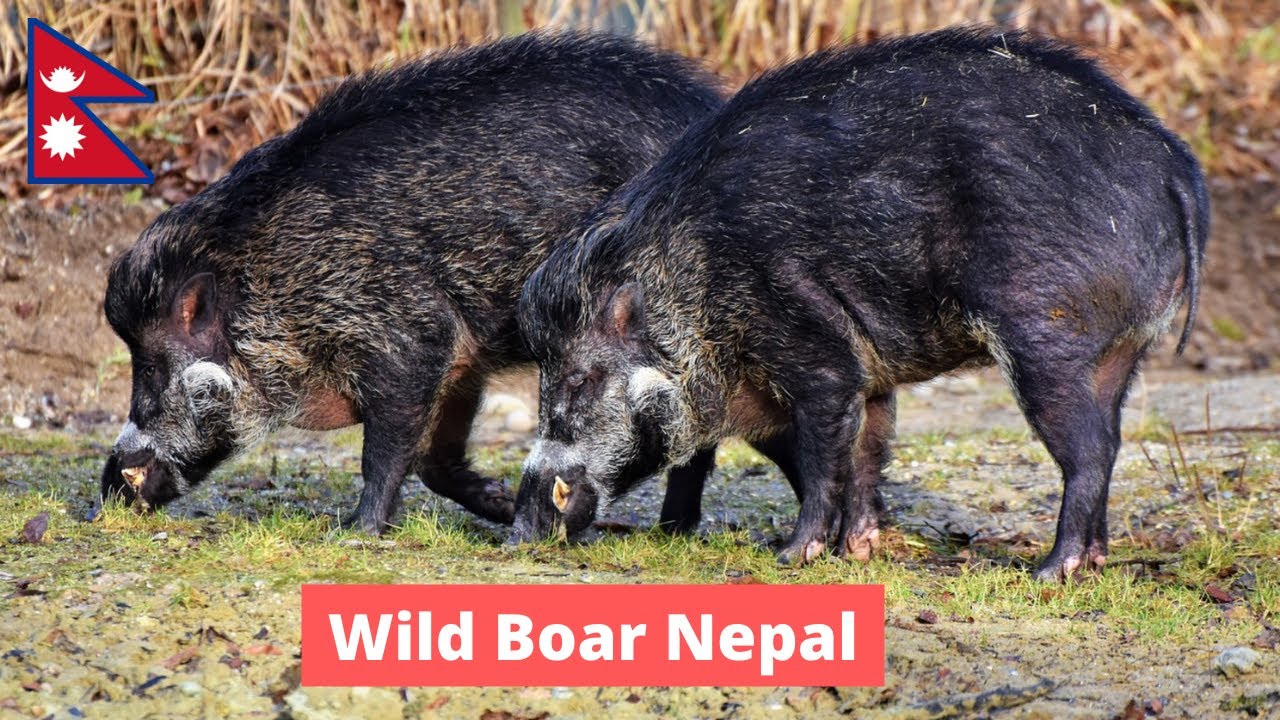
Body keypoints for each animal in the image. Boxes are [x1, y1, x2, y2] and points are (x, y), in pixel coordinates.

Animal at [99, 32, 723, 532]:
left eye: (151, 368)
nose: (106, 488)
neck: (271, 278)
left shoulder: (408, 334)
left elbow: (386, 450)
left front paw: (356, 530)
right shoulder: (462, 358)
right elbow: (433, 460)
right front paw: (500, 506)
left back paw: (670, 529)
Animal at [513, 27, 1207, 580]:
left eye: (579, 378)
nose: (519, 531)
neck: (690, 285)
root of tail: (1174, 165)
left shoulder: (814, 346)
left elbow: (825, 455)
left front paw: (792, 556)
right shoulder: (870, 376)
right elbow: (868, 452)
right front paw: (859, 551)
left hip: (1046, 335)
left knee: (1089, 450)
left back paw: (1051, 571)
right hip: (1122, 350)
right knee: (1112, 438)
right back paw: (1092, 561)